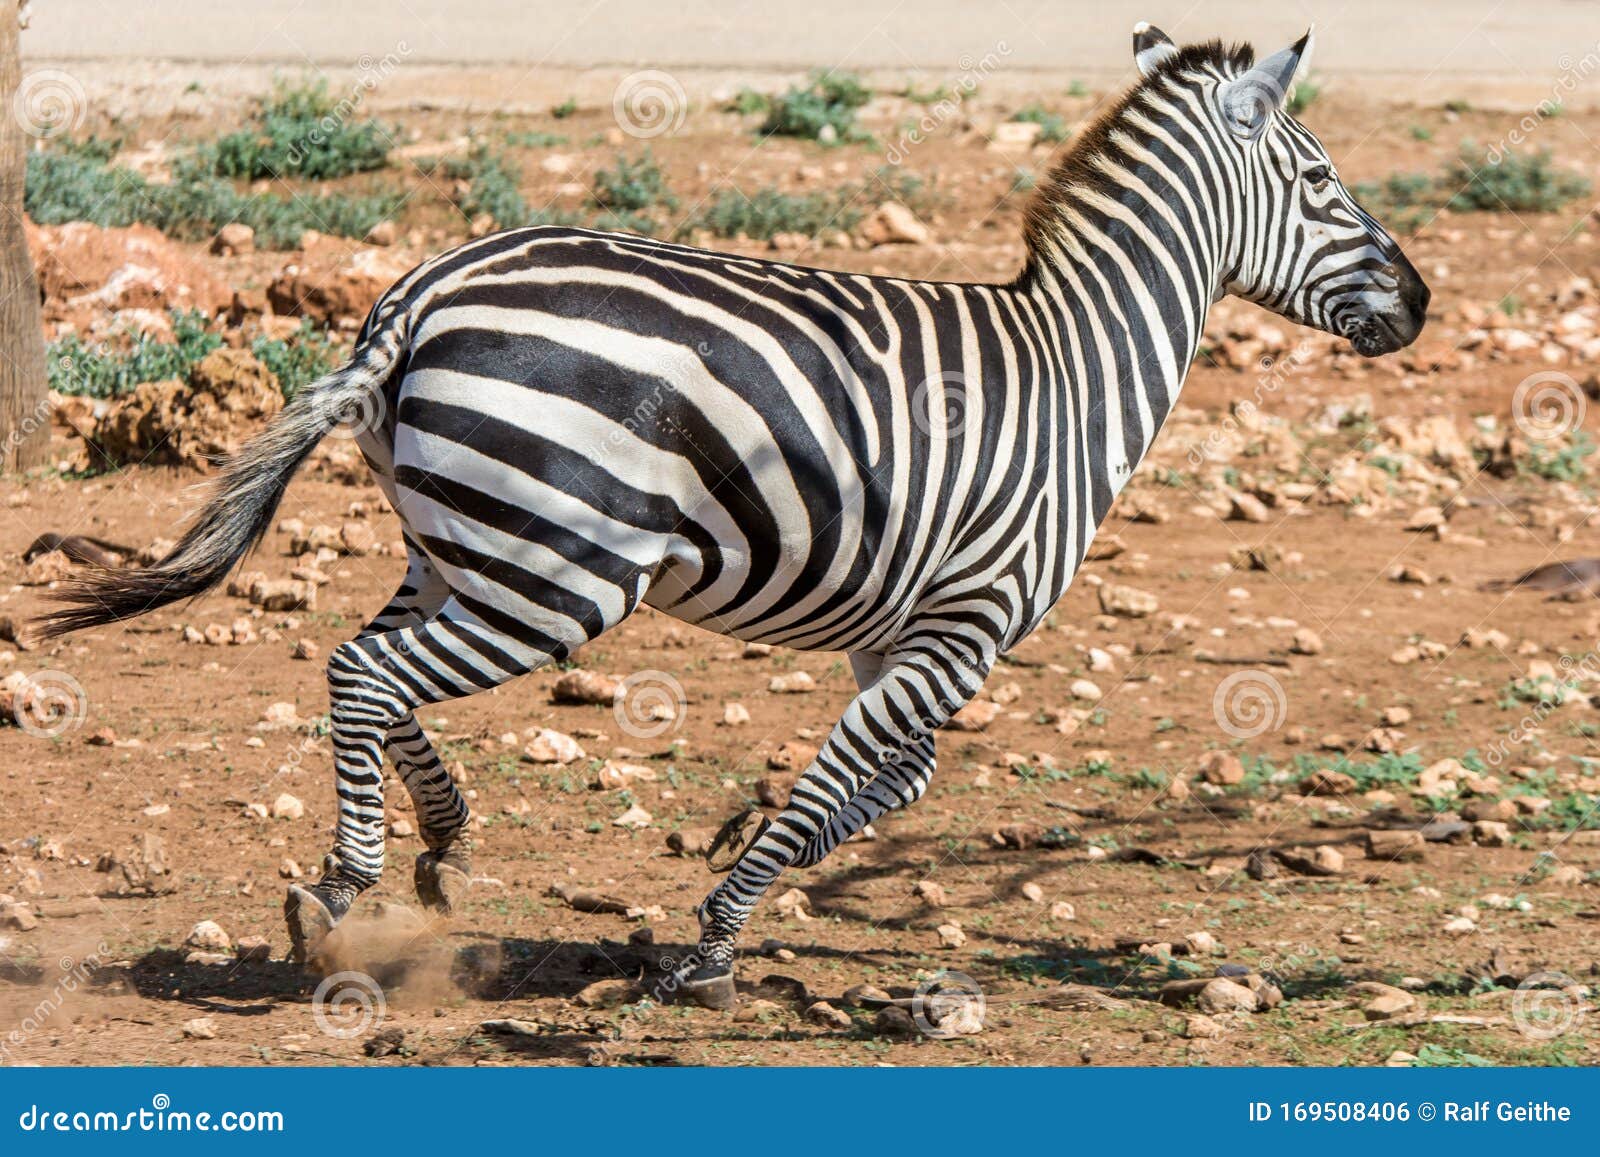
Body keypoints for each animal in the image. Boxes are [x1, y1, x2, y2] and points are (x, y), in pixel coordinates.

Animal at [40, 24, 1427, 1010]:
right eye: (1319, 179)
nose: (1417, 302)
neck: (1076, 367)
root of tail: (419, 295)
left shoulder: (903, 626)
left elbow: (893, 779)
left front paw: (741, 852)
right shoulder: (966, 622)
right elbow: (845, 778)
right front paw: (709, 941)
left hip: (465, 545)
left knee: (368, 670)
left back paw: (441, 844)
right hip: (563, 571)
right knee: (365, 675)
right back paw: (344, 887)